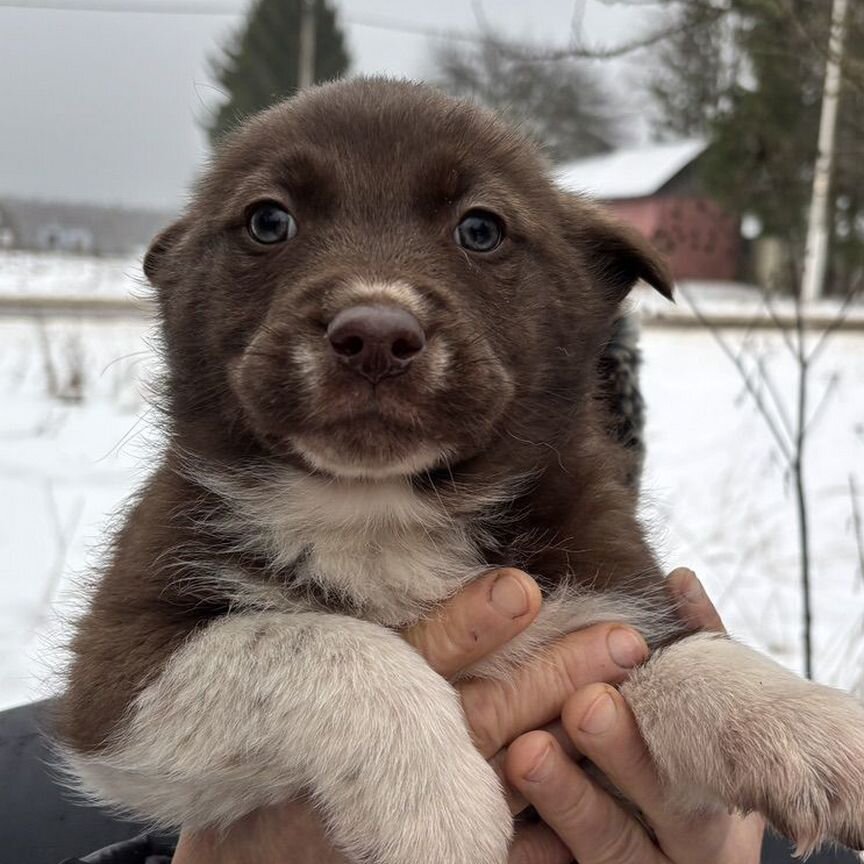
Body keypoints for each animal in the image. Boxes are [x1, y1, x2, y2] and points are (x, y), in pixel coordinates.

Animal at [55, 77, 864, 860]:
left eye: (481, 229)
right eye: (268, 221)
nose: (375, 335)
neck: (379, 508)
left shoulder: (604, 603)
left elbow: (679, 656)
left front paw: (804, 722)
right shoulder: (114, 673)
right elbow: (314, 640)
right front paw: (434, 803)